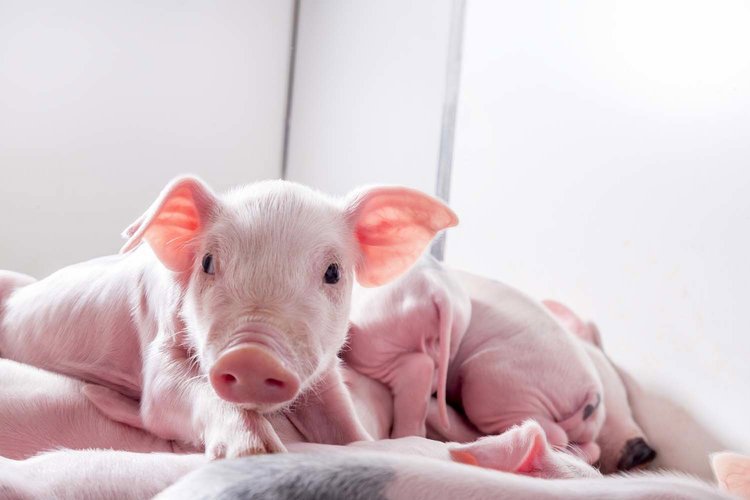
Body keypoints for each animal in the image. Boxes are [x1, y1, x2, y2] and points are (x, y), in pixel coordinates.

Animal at [0, 175, 457, 458]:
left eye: (333, 272)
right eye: (207, 262)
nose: (253, 354)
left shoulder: (324, 372)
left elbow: (344, 426)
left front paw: (370, 447)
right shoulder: (158, 350)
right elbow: (166, 399)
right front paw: (256, 454)